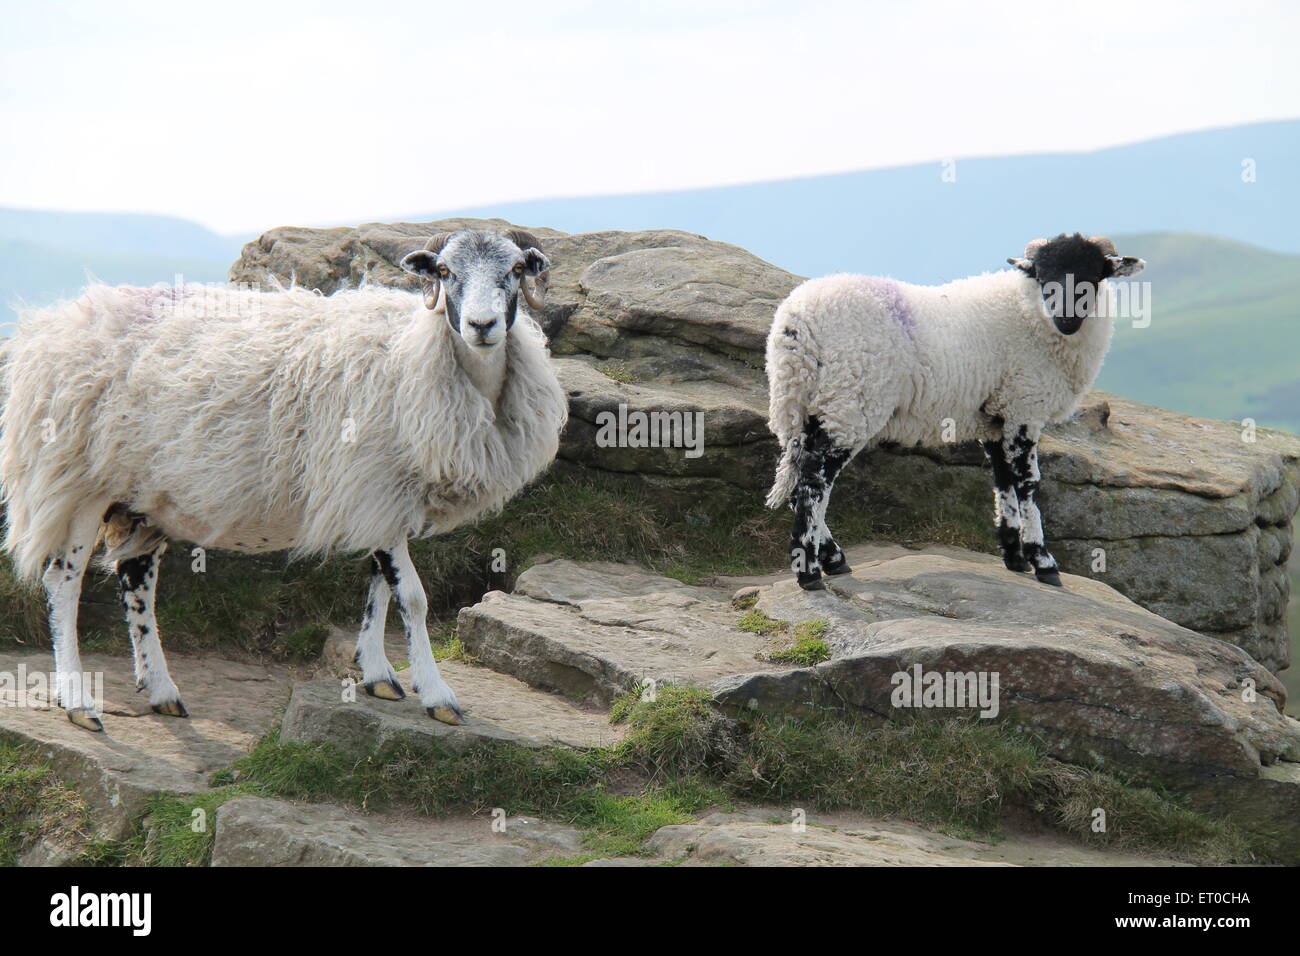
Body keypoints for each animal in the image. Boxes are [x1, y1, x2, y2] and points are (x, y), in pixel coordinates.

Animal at [0, 228, 567, 732]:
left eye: (516, 270)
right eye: (445, 272)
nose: (481, 325)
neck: (421, 355)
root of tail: (56, 324)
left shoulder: (377, 494)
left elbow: (380, 584)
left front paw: (377, 673)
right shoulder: (374, 488)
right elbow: (412, 597)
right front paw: (437, 695)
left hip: (146, 492)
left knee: (136, 578)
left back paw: (161, 690)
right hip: (76, 477)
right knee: (63, 579)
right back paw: (78, 700)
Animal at [764, 233, 1145, 591]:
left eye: (1093, 274)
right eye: (1041, 275)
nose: (1065, 319)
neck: (1030, 313)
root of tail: (795, 325)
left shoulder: (996, 418)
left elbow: (1003, 482)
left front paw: (1014, 555)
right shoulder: (1023, 407)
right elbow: (1027, 482)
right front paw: (1042, 560)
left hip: (804, 404)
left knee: (798, 478)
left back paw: (833, 558)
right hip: (849, 402)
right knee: (814, 482)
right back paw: (809, 572)